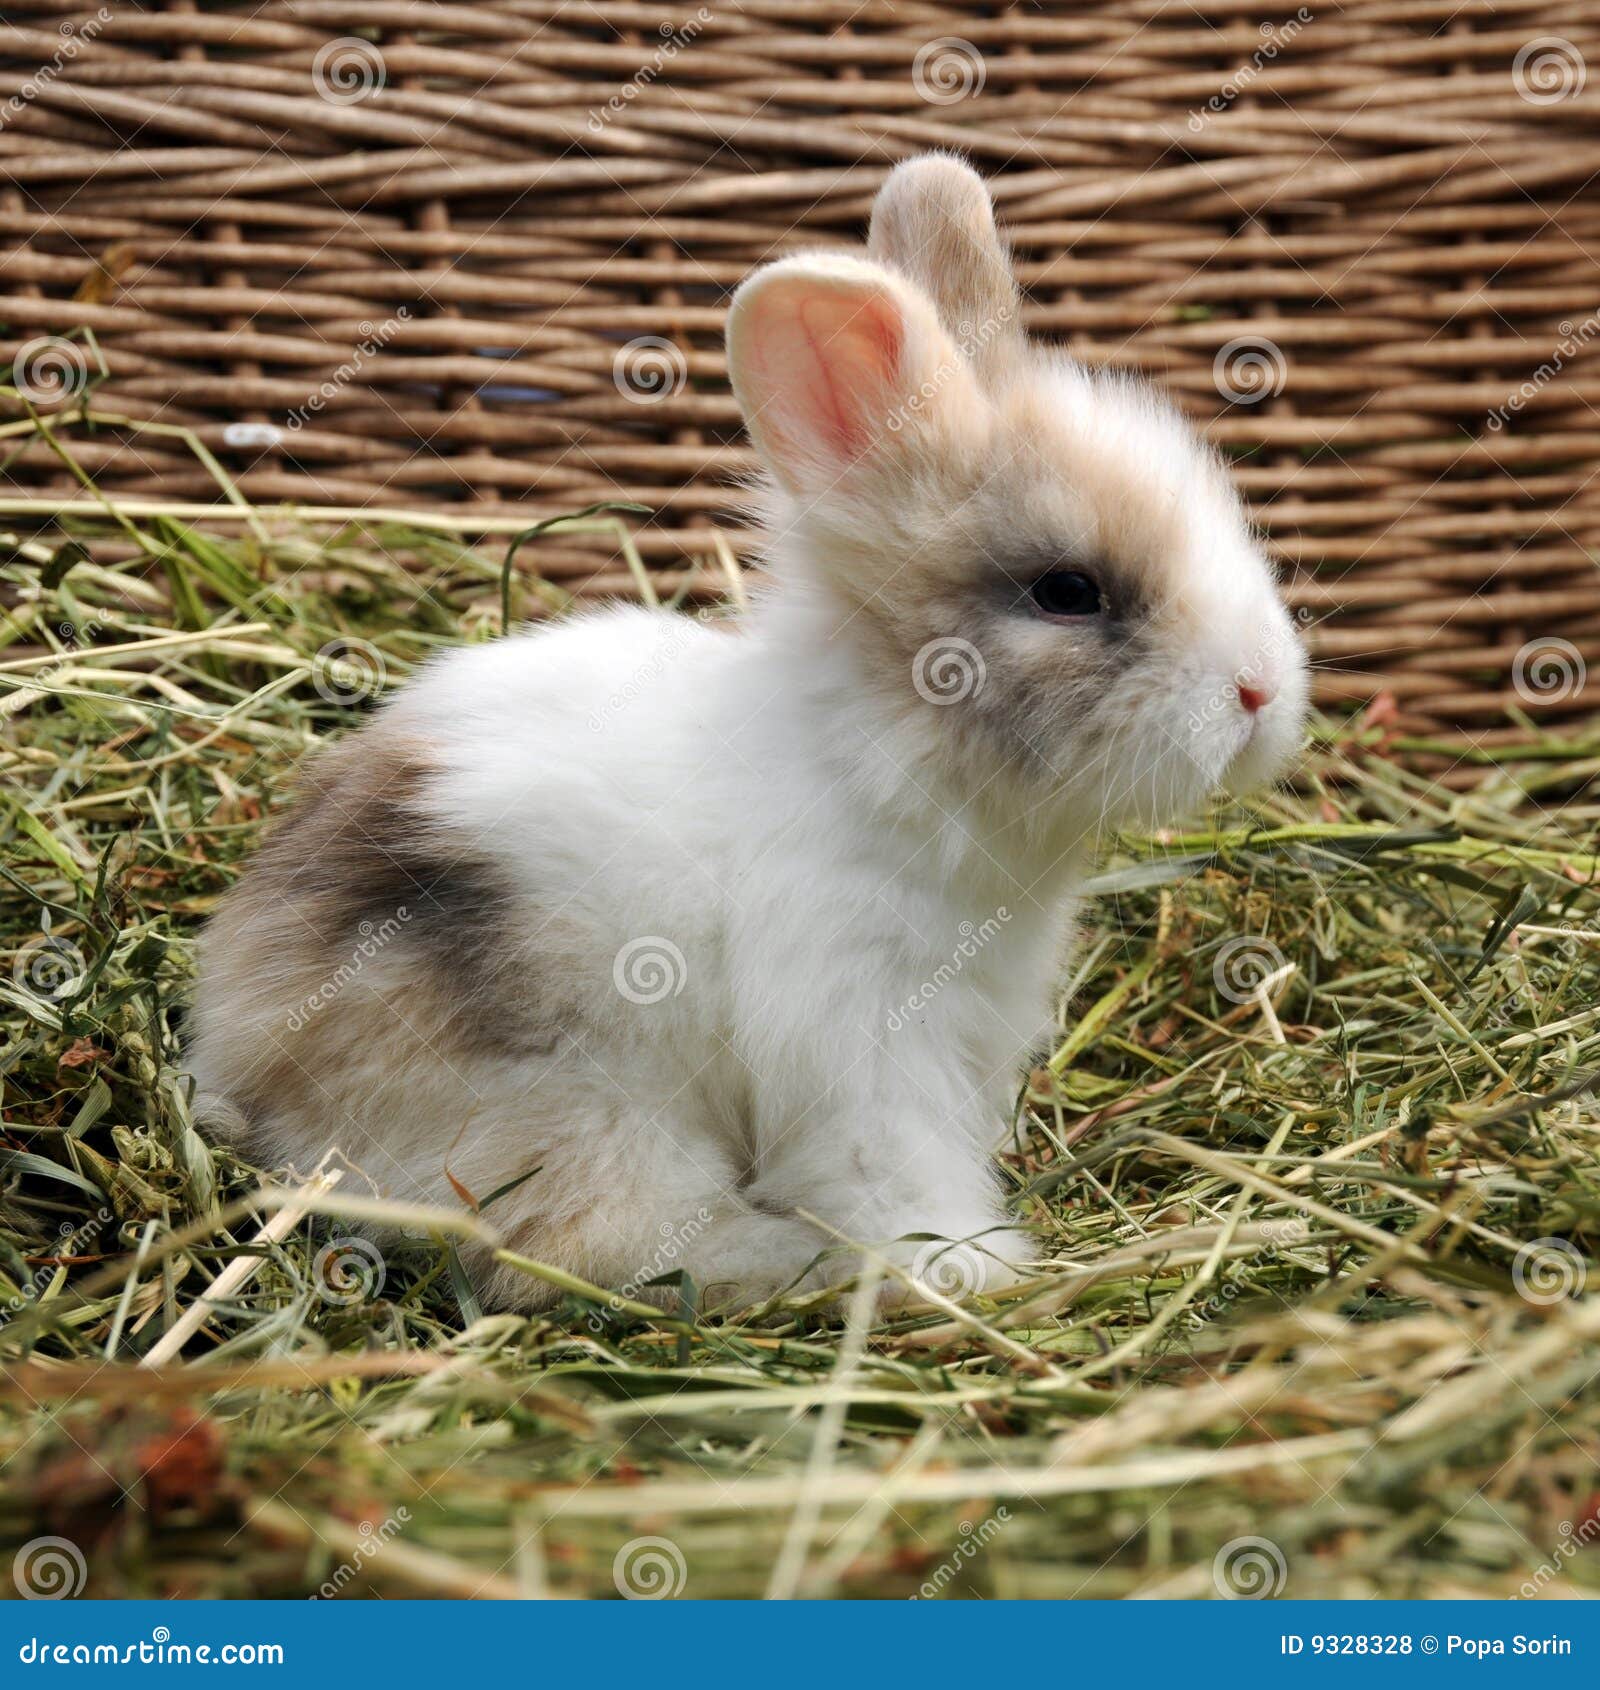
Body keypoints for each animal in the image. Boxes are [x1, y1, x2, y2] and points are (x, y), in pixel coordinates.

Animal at [188, 153, 1308, 1315]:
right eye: (1068, 590)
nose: (1262, 691)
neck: (880, 749)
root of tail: (238, 1050)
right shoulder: (863, 1040)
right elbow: (891, 1172)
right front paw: (969, 1264)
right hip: (579, 1103)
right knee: (588, 1240)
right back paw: (790, 1263)